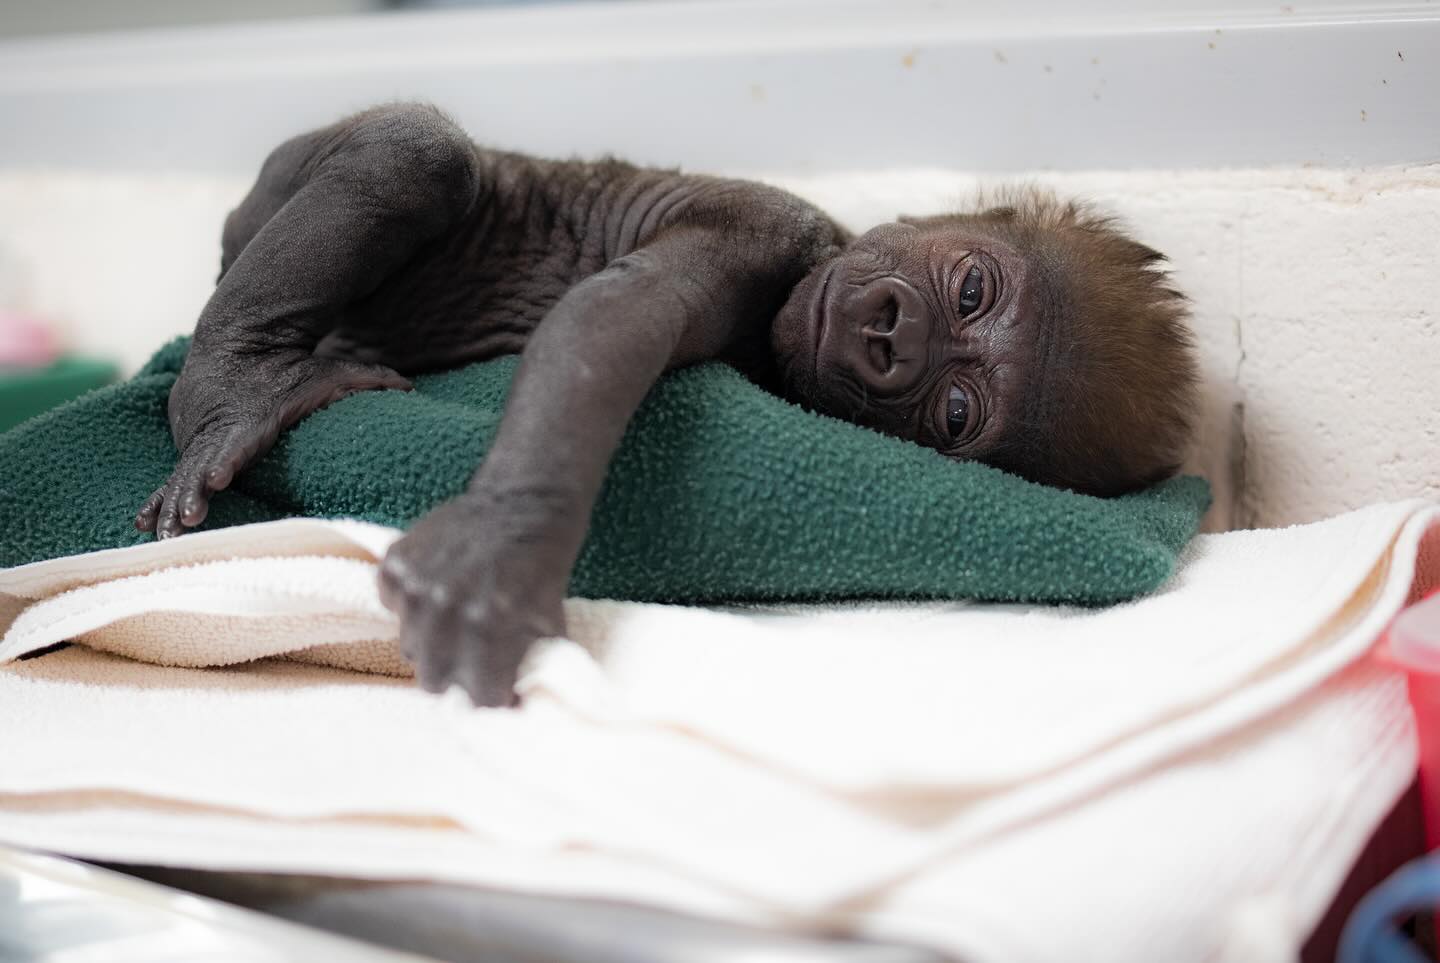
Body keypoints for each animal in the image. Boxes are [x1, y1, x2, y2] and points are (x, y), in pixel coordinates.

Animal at [134, 103, 1197, 707]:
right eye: (970, 289)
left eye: (958, 414)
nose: (893, 335)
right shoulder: (771, 226)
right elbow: (610, 314)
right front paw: (506, 544)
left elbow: (607, 323)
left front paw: (504, 542)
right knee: (418, 149)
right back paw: (234, 383)